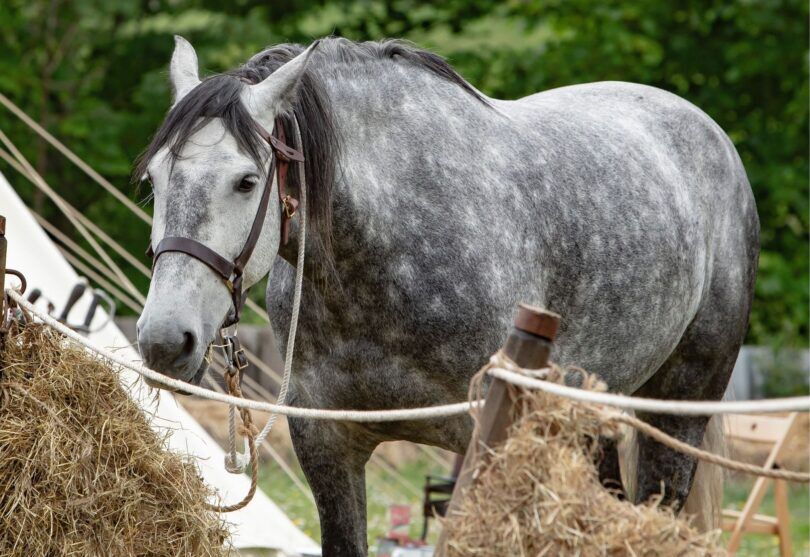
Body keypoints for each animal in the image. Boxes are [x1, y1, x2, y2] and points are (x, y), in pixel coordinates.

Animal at [135, 36, 759, 555]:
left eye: (246, 180)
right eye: (155, 179)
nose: (165, 340)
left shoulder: (483, 438)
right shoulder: (326, 443)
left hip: (680, 404)